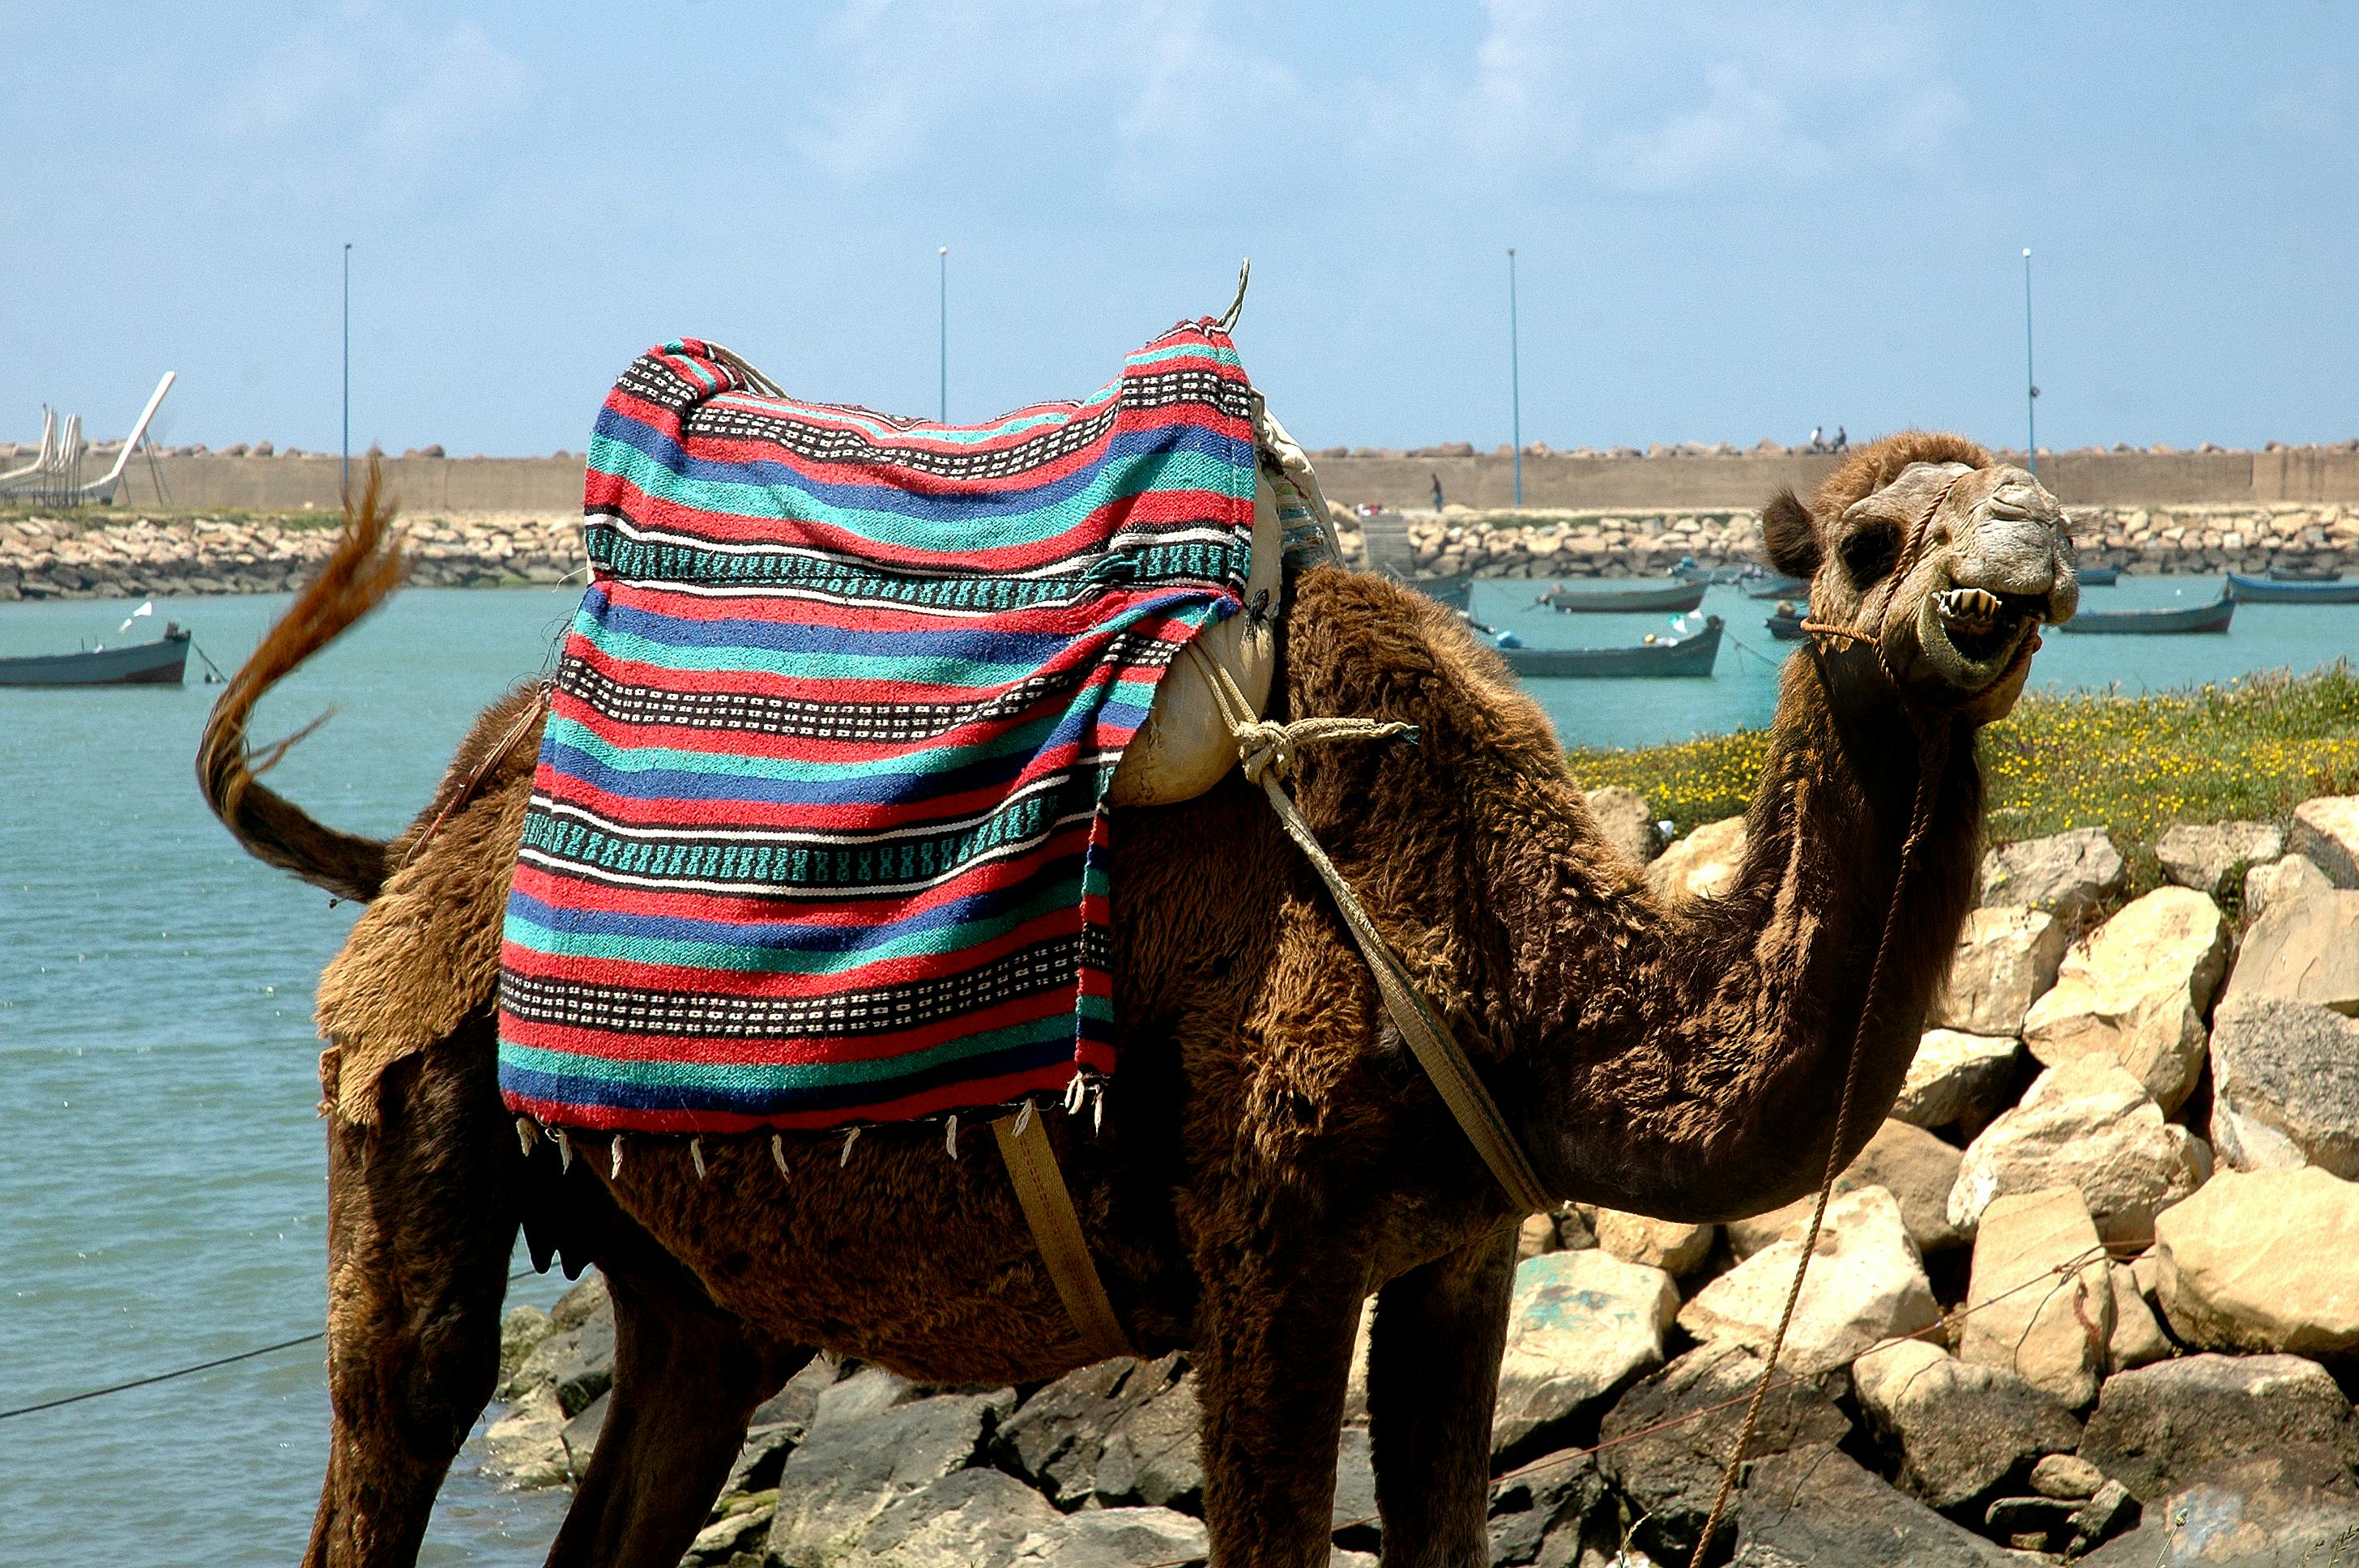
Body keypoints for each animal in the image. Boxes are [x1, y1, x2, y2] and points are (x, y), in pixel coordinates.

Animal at [198, 432, 2078, 1568]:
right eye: (1872, 538)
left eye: (2019, 495)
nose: (2038, 539)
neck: (1529, 988)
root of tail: (422, 839)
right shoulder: (1273, 1242)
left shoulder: (1459, 1250)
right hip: (409, 1098)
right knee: (407, 1393)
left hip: (693, 1283)